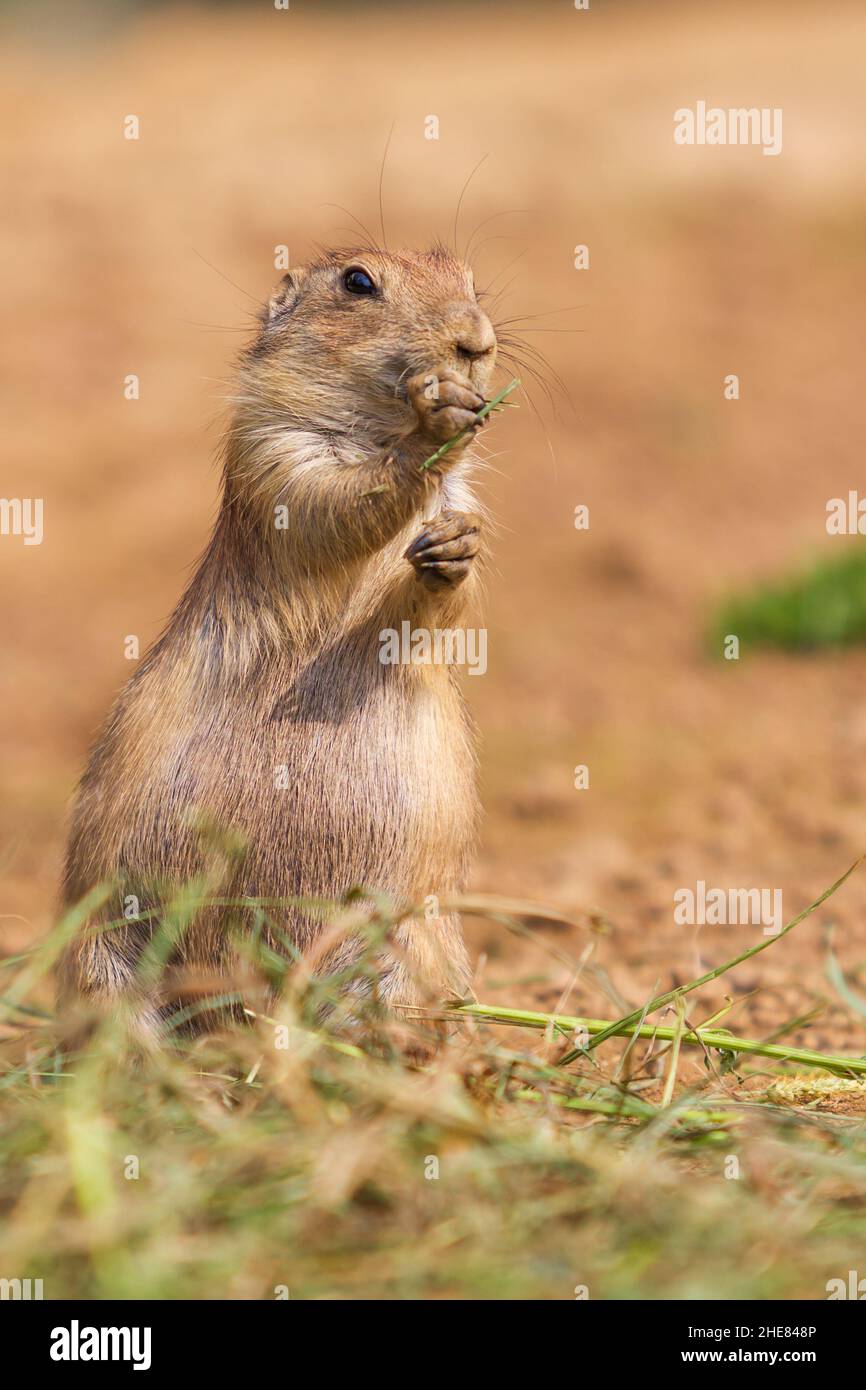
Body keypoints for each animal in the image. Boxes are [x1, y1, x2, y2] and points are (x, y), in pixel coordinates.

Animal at [60, 246, 501, 1038]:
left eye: (473, 281)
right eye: (357, 282)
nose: (475, 341)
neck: (374, 425)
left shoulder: (458, 495)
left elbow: (440, 607)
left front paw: (454, 548)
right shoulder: (271, 445)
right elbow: (325, 503)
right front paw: (436, 421)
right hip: (100, 942)